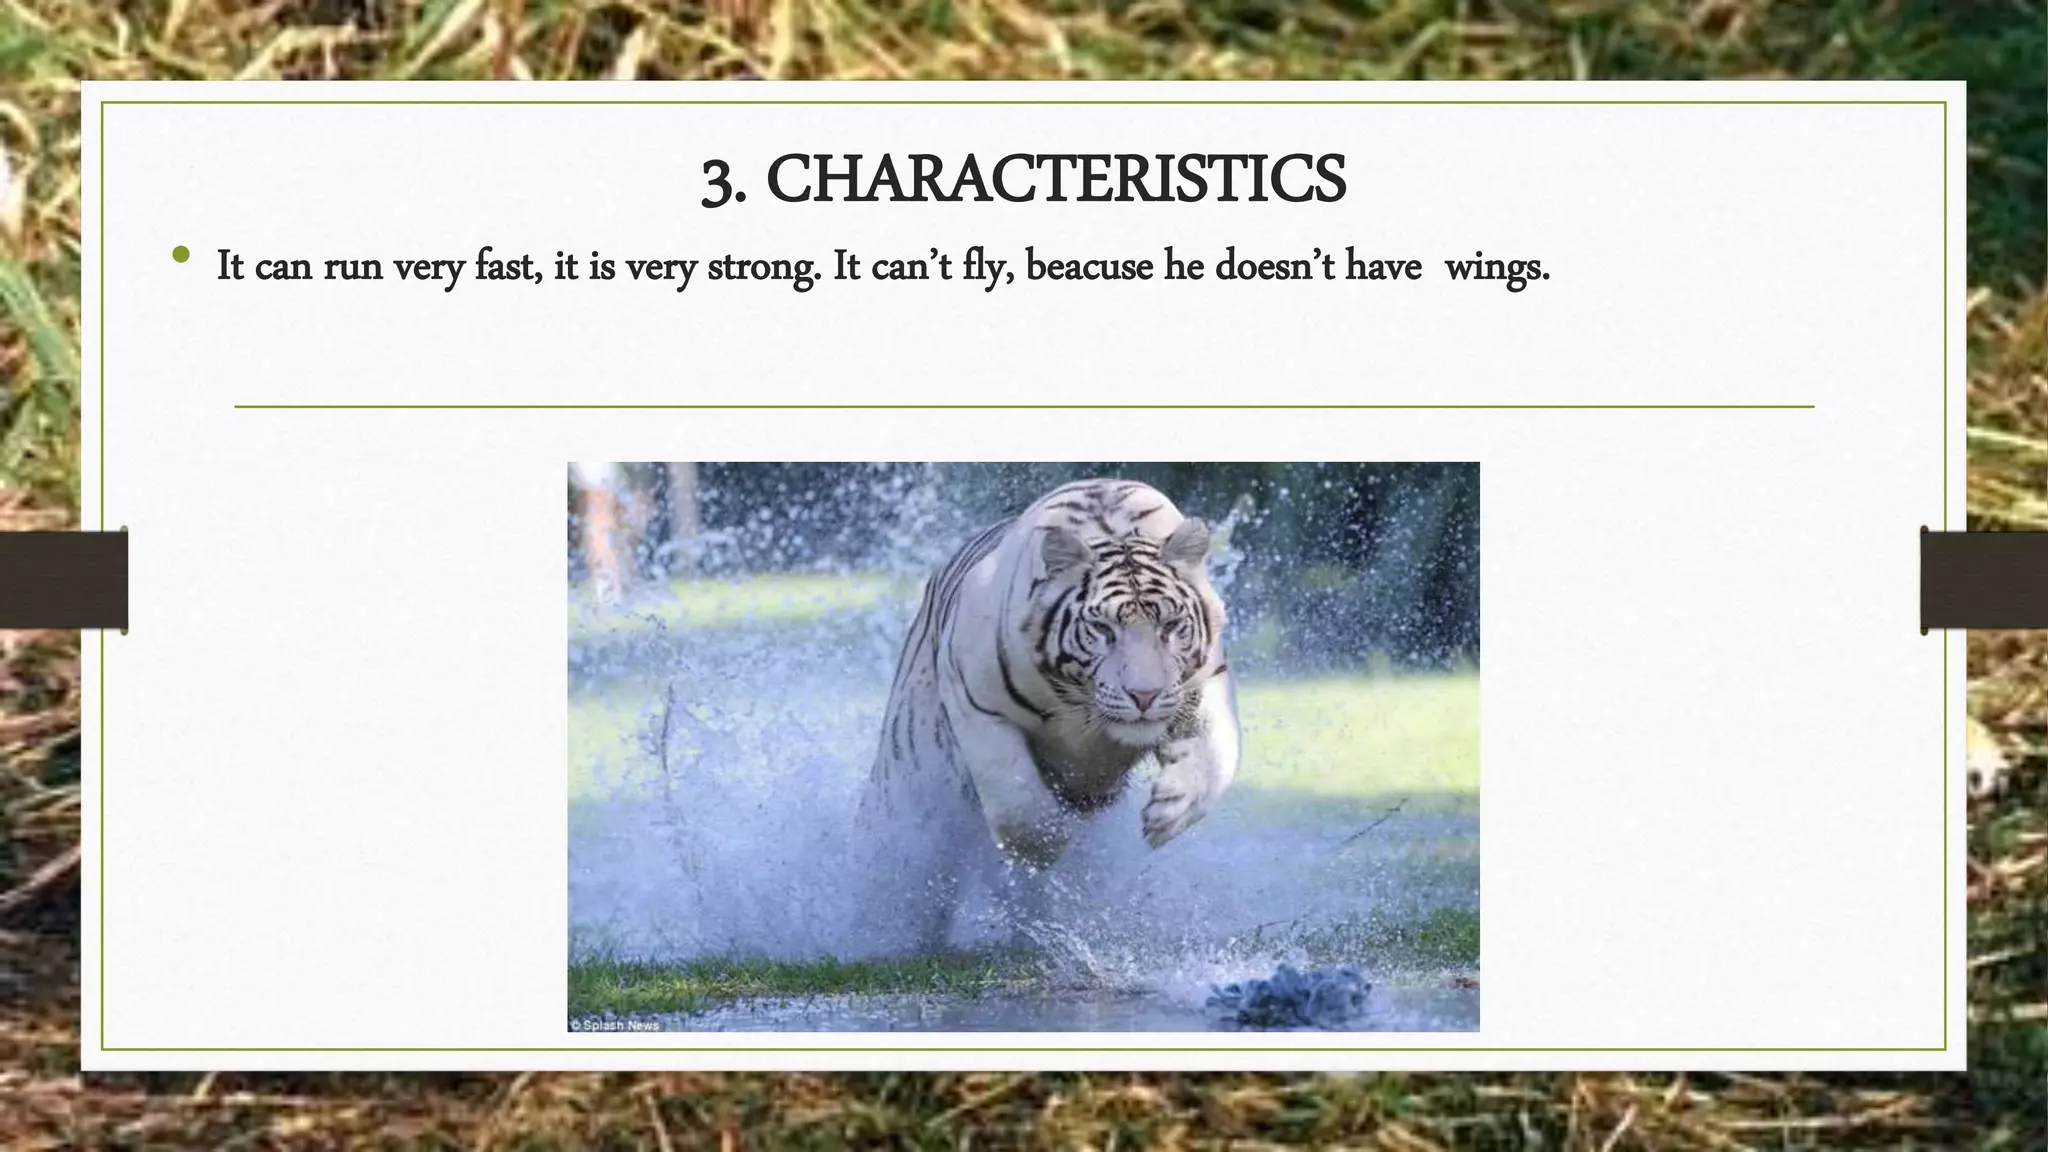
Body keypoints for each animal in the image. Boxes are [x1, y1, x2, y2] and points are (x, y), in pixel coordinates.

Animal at [854, 478, 1242, 950]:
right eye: (1103, 629)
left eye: (1170, 626)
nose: (1144, 695)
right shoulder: (976, 703)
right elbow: (1017, 801)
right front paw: (1048, 844)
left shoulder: (1204, 686)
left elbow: (1216, 761)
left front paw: (1169, 812)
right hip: (908, 783)